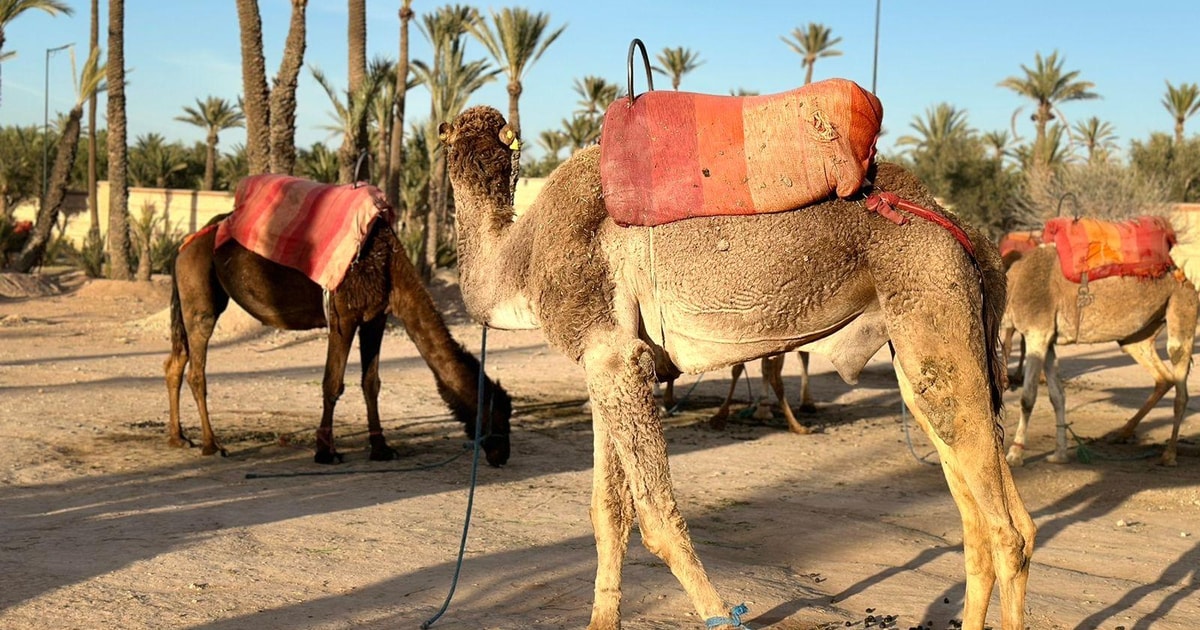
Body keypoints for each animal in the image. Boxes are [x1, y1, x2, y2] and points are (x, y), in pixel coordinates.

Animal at [163, 213, 513, 466]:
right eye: (497, 415)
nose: (502, 455)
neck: (389, 266)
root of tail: (184, 245)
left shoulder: (376, 317)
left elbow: (371, 383)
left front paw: (381, 448)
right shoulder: (343, 316)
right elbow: (332, 383)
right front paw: (325, 452)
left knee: (174, 362)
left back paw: (179, 438)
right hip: (200, 293)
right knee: (196, 368)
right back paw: (212, 445)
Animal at [439, 106, 1033, 630]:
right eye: (451, 137)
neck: (520, 256)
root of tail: (963, 229)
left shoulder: (612, 353)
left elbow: (655, 516)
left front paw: (721, 616)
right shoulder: (599, 357)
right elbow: (608, 511)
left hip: (931, 295)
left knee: (1008, 531)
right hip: (924, 343)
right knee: (985, 516)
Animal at [1003, 244, 1198, 467]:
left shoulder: (1037, 333)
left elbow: (1028, 397)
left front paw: (1014, 454)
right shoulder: (1048, 341)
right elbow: (1057, 396)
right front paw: (1059, 455)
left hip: (1182, 306)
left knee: (1180, 384)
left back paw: (1169, 454)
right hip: (1139, 334)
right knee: (1163, 377)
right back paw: (1122, 434)